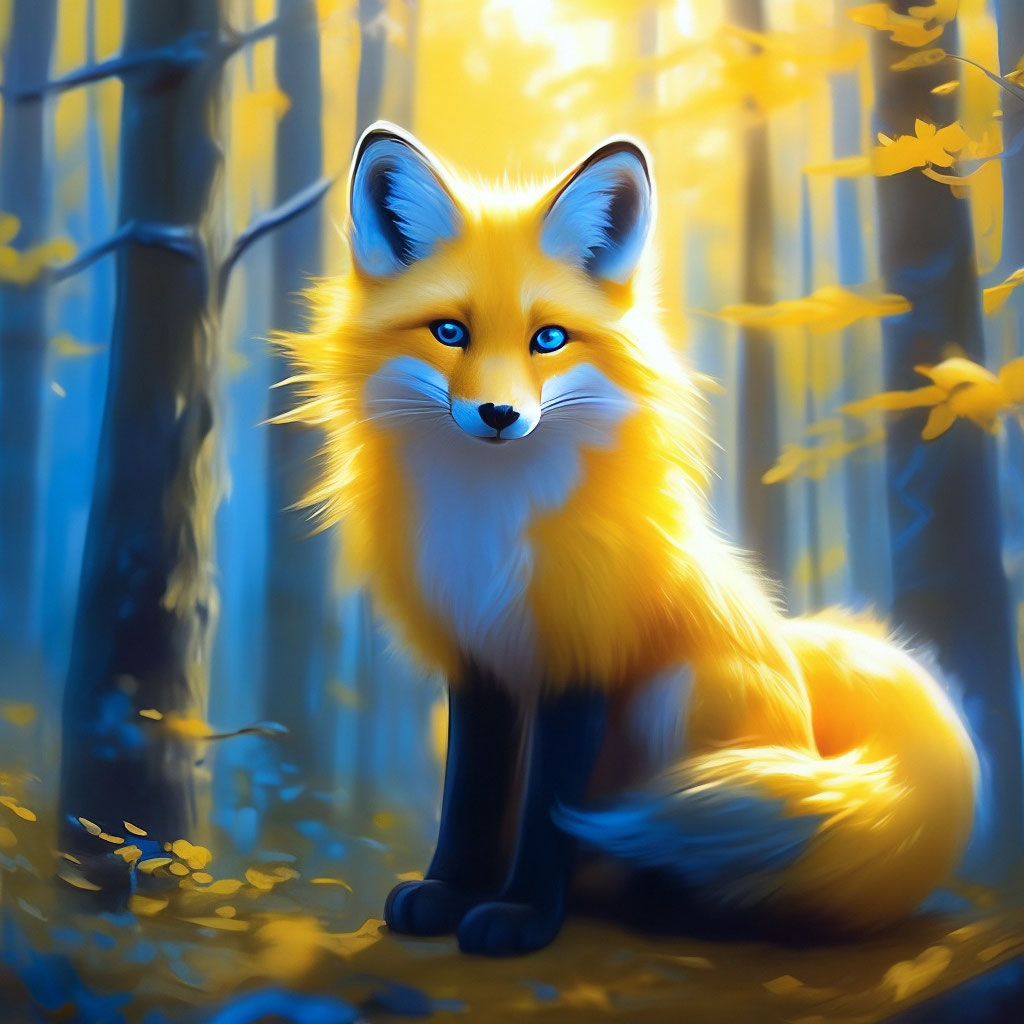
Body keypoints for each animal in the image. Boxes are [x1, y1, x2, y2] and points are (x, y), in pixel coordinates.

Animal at [278, 121, 979, 957]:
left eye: (549, 338)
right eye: (450, 332)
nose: (499, 415)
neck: (489, 525)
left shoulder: (581, 649)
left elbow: (549, 811)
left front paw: (520, 916)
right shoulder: (477, 665)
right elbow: (470, 797)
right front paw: (450, 892)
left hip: (684, 700)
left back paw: (675, 901)